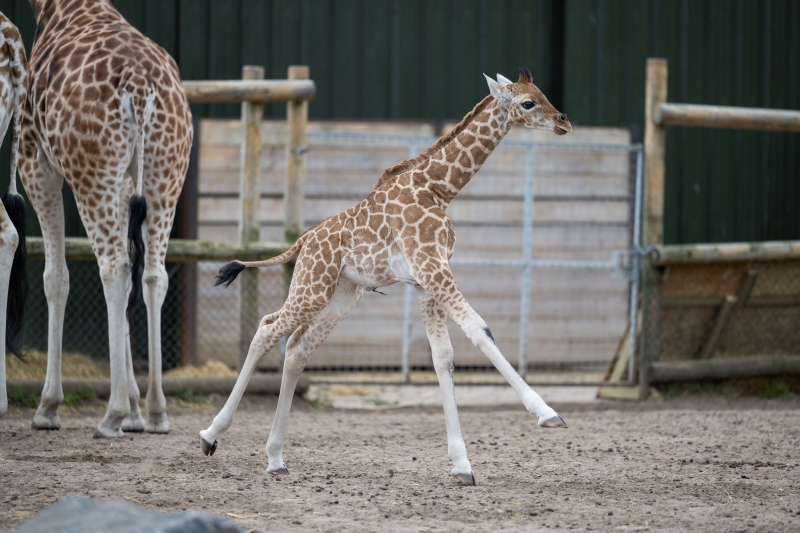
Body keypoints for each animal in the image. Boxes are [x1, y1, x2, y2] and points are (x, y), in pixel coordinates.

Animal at [18, 0, 192, 437]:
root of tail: (140, 84)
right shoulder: (126, 180)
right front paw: (135, 410)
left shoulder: (35, 161)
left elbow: (55, 277)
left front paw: (48, 407)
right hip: (166, 170)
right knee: (152, 273)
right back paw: (156, 411)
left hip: (90, 172)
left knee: (114, 267)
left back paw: (110, 415)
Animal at [200, 68, 572, 486]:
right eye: (528, 102)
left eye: (541, 94)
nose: (564, 121)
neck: (438, 189)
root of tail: (303, 241)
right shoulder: (432, 266)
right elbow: (480, 330)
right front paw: (547, 414)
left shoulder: (428, 278)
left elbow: (443, 356)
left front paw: (461, 464)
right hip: (312, 286)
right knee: (266, 329)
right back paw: (210, 436)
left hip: (342, 295)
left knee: (296, 348)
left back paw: (275, 457)